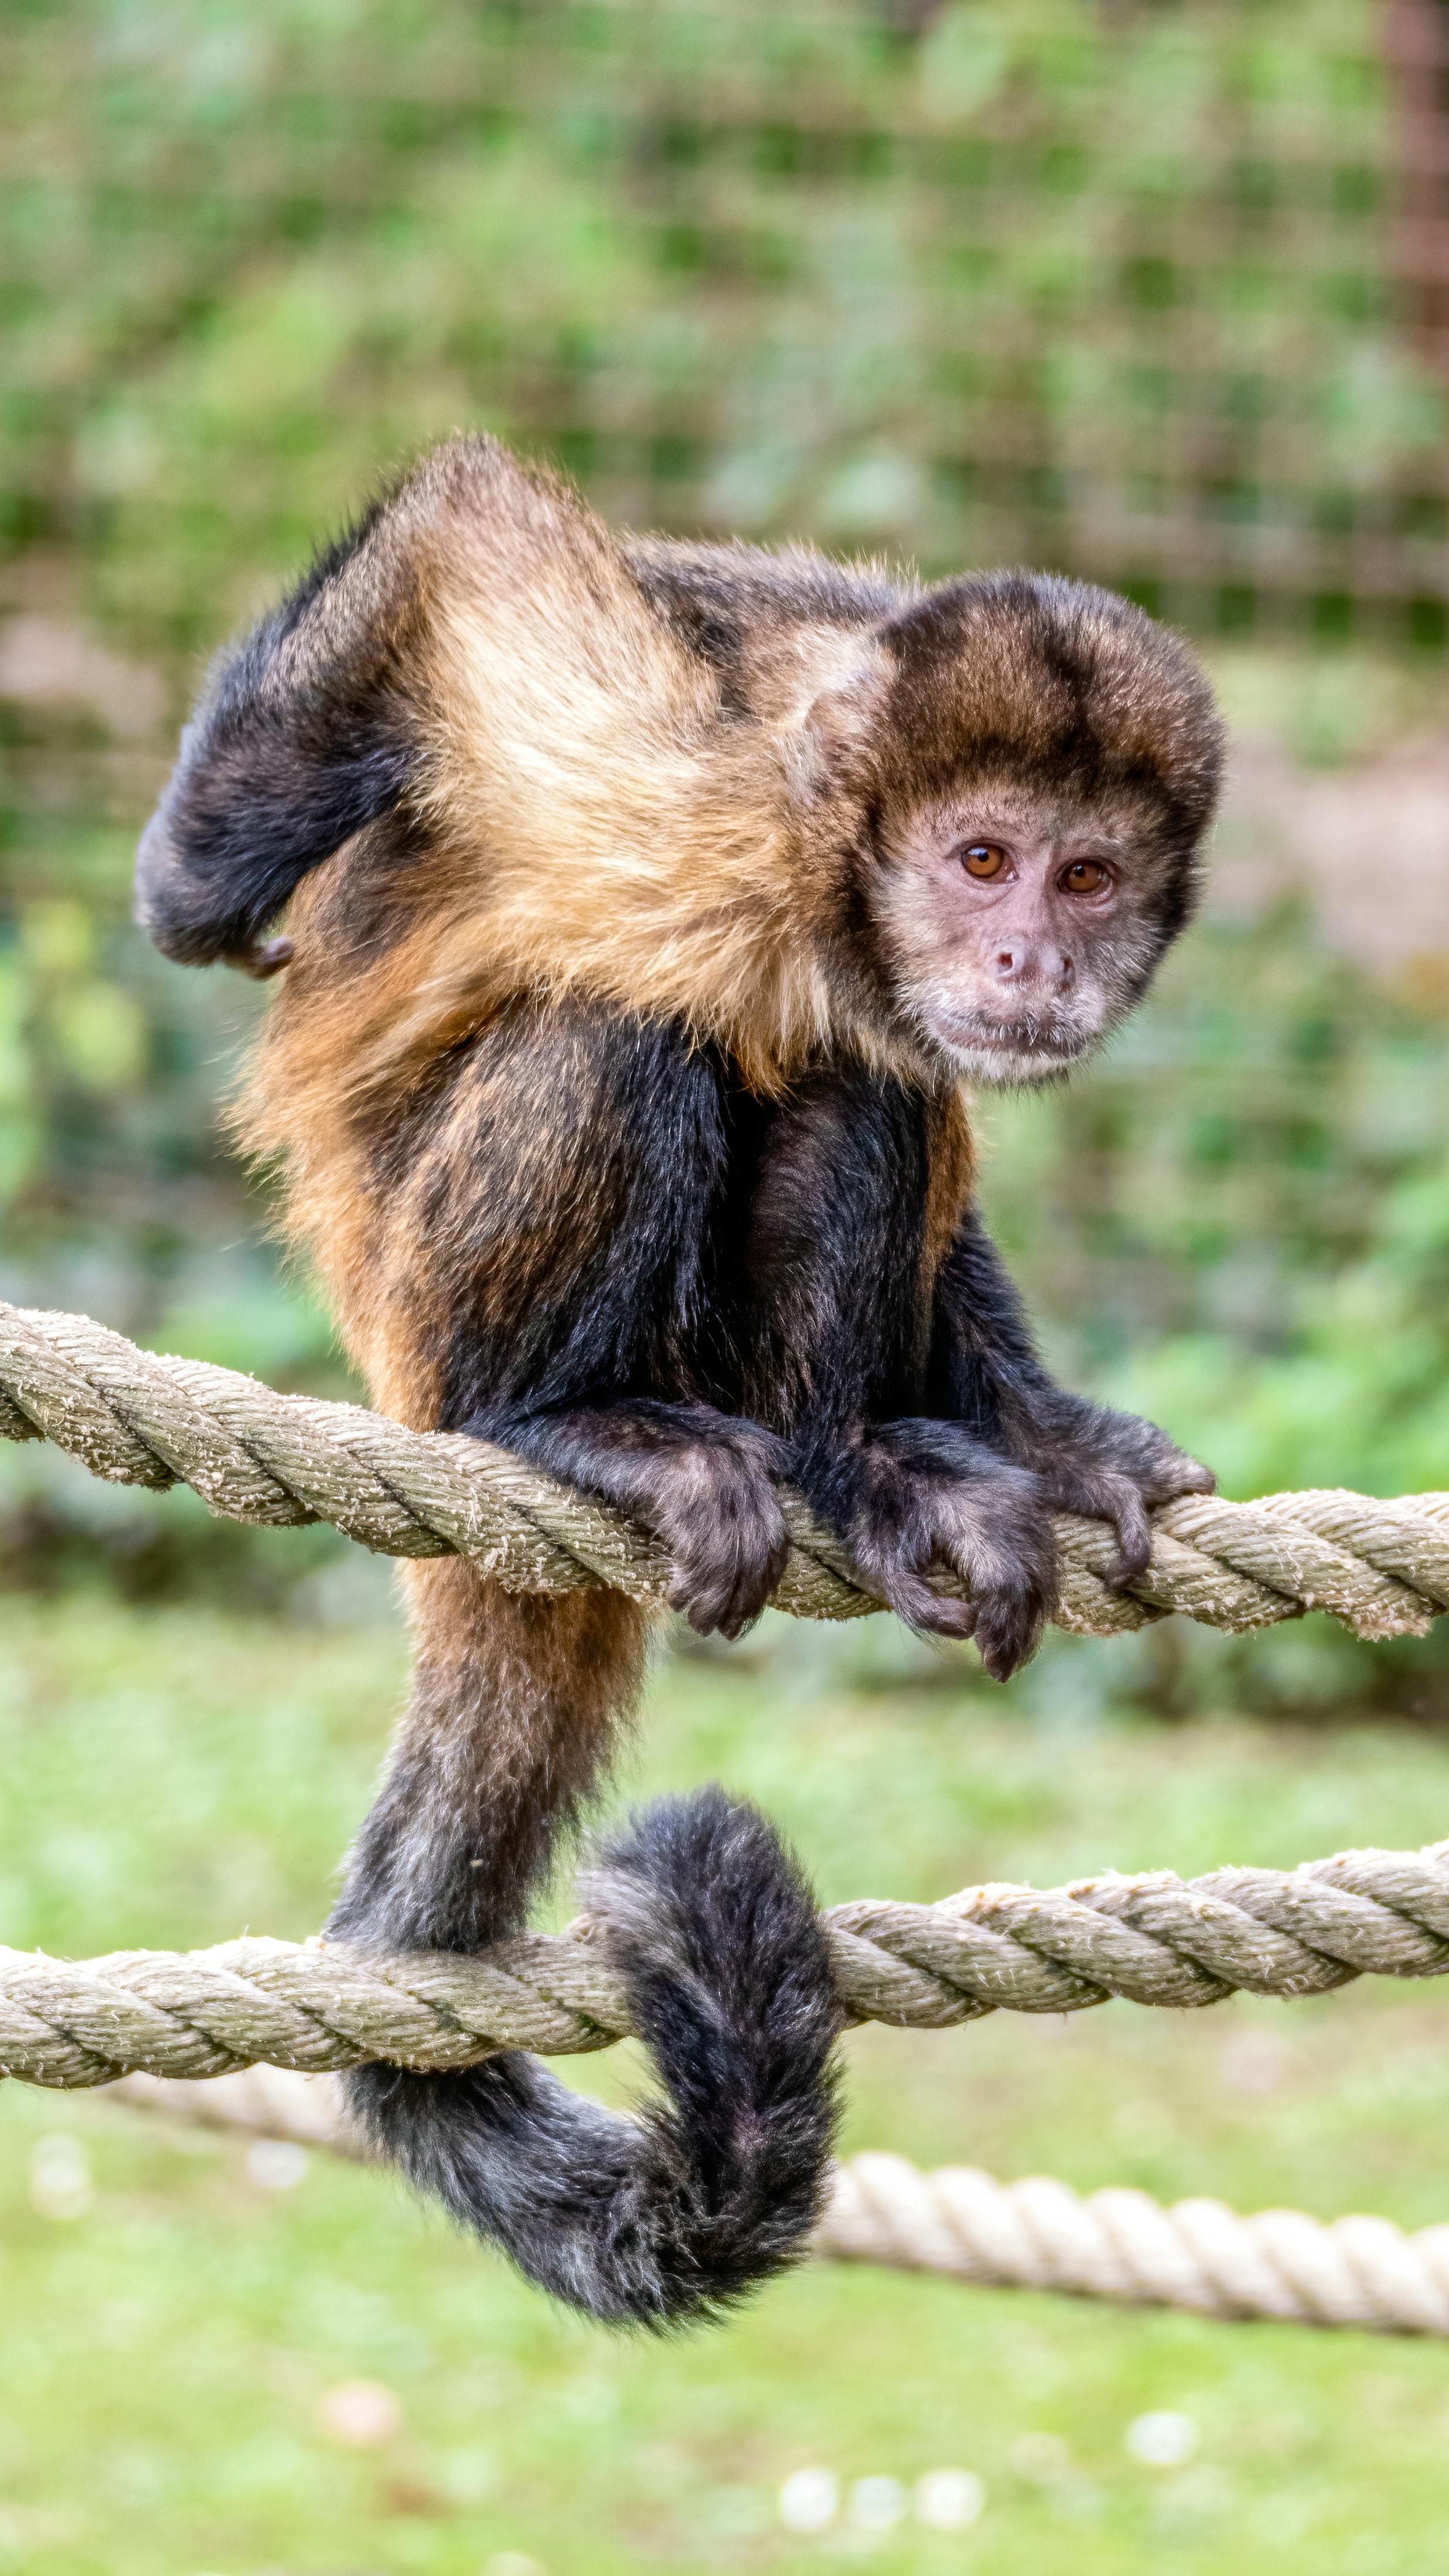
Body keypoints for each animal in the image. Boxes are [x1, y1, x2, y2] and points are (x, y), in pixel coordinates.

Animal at [134, 434, 1222, 2329]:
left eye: (1085, 878)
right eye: (983, 857)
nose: (1028, 958)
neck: (824, 875)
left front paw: (1042, 1431)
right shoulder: (697, 798)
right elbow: (467, 539)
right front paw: (196, 881)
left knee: (856, 1078)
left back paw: (865, 1458)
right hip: (423, 1305)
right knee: (622, 1023)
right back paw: (563, 1423)